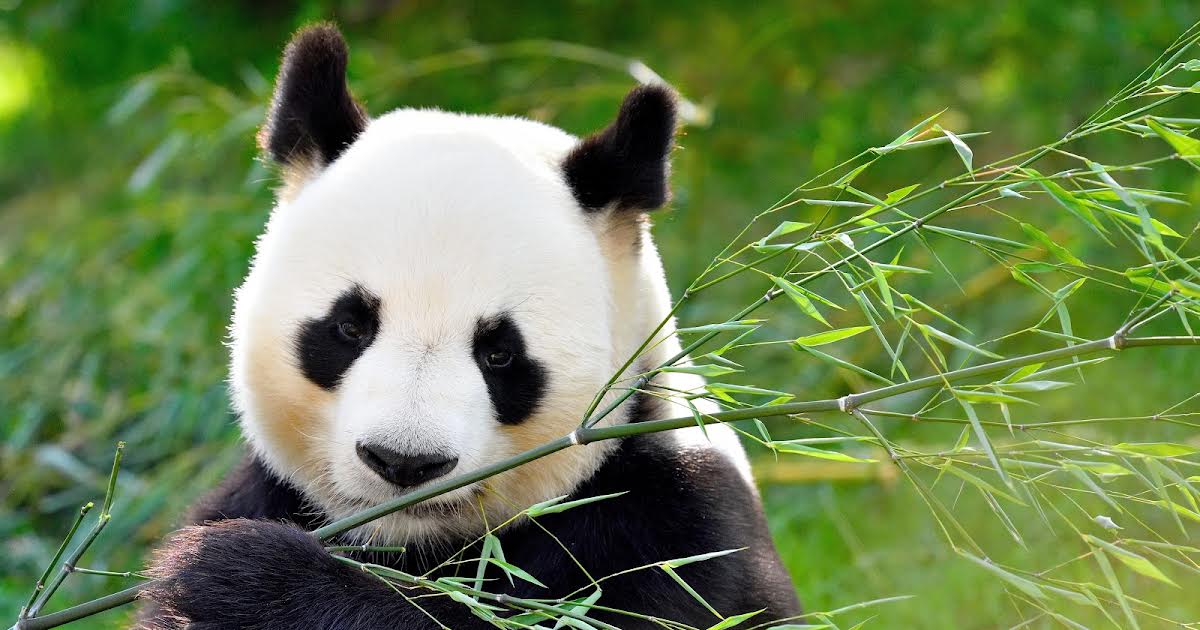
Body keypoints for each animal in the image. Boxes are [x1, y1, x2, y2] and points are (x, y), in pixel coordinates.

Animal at [139, 23, 800, 629]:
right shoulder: (269, 490)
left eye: (500, 354)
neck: (410, 543)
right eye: (349, 328)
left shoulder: (668, 525)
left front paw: (240, 577)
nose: (404, 463)